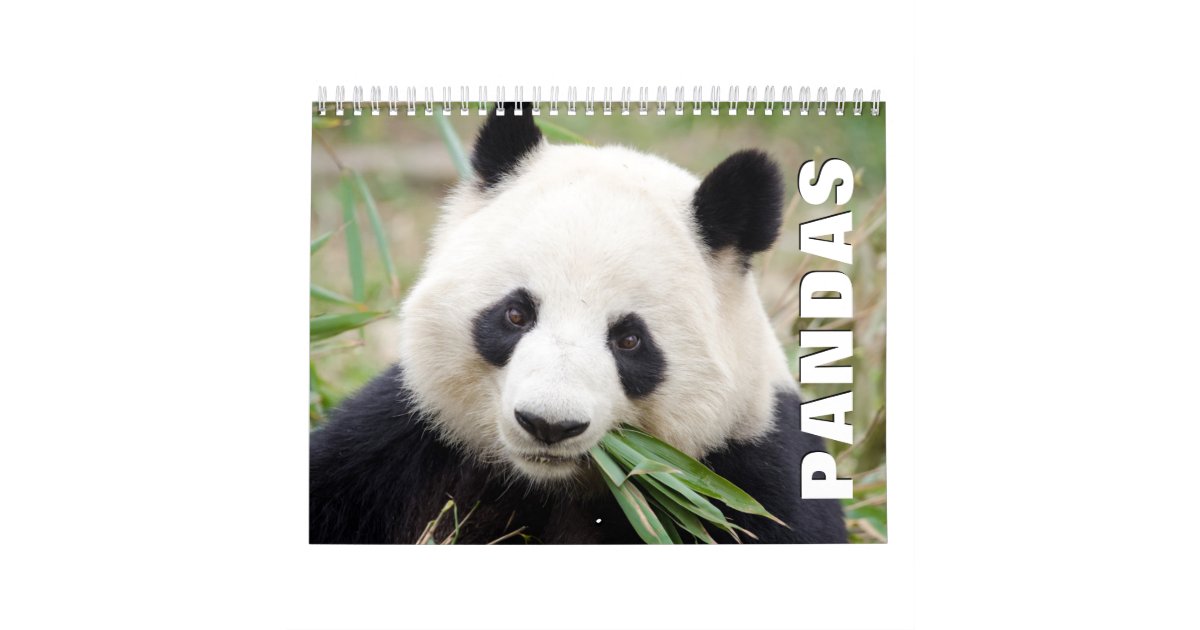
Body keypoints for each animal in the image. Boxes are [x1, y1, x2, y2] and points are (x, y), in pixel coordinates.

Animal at [310, 103, 847, 544]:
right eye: (516, 313)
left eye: (629, 339)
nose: (548, 424)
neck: (548, 484)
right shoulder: (401, 445)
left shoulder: (748, 474)